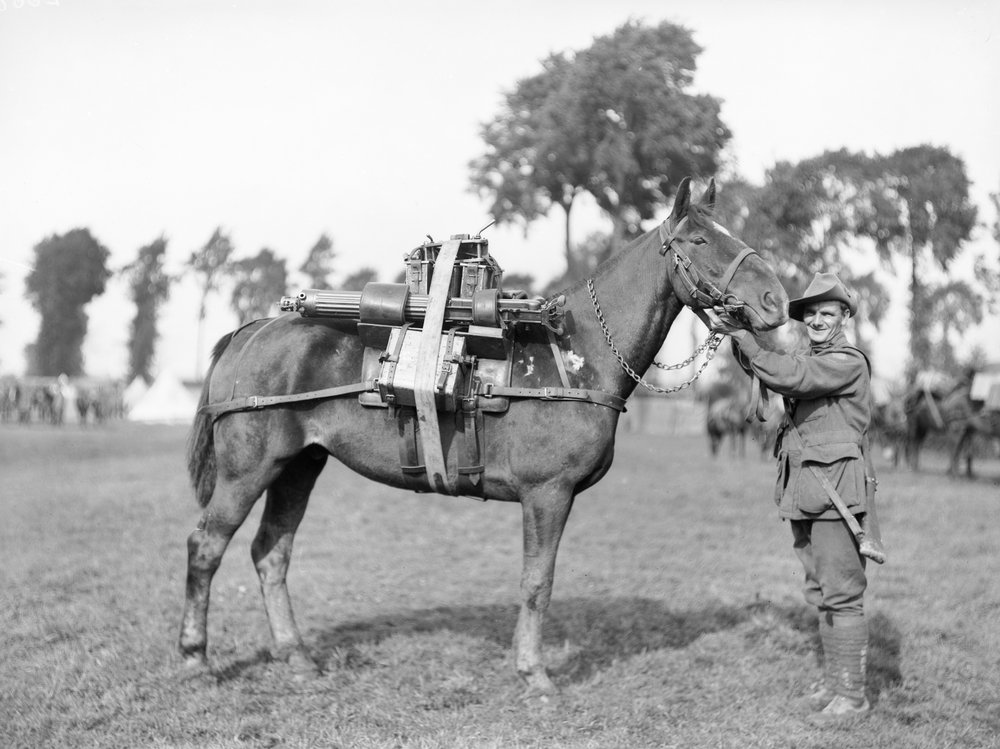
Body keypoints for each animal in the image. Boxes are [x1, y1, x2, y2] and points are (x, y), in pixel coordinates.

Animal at [180, 178, 789, 695]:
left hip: (299, 466)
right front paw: (535, 675)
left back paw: (297, 657)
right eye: (700, 239)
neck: (577, 356)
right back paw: (196, 659)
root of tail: (252, 330)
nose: (775, 303)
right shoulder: (547, 494)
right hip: (248, 470)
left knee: (271, 553)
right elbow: (537, 582)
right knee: (206, 547)